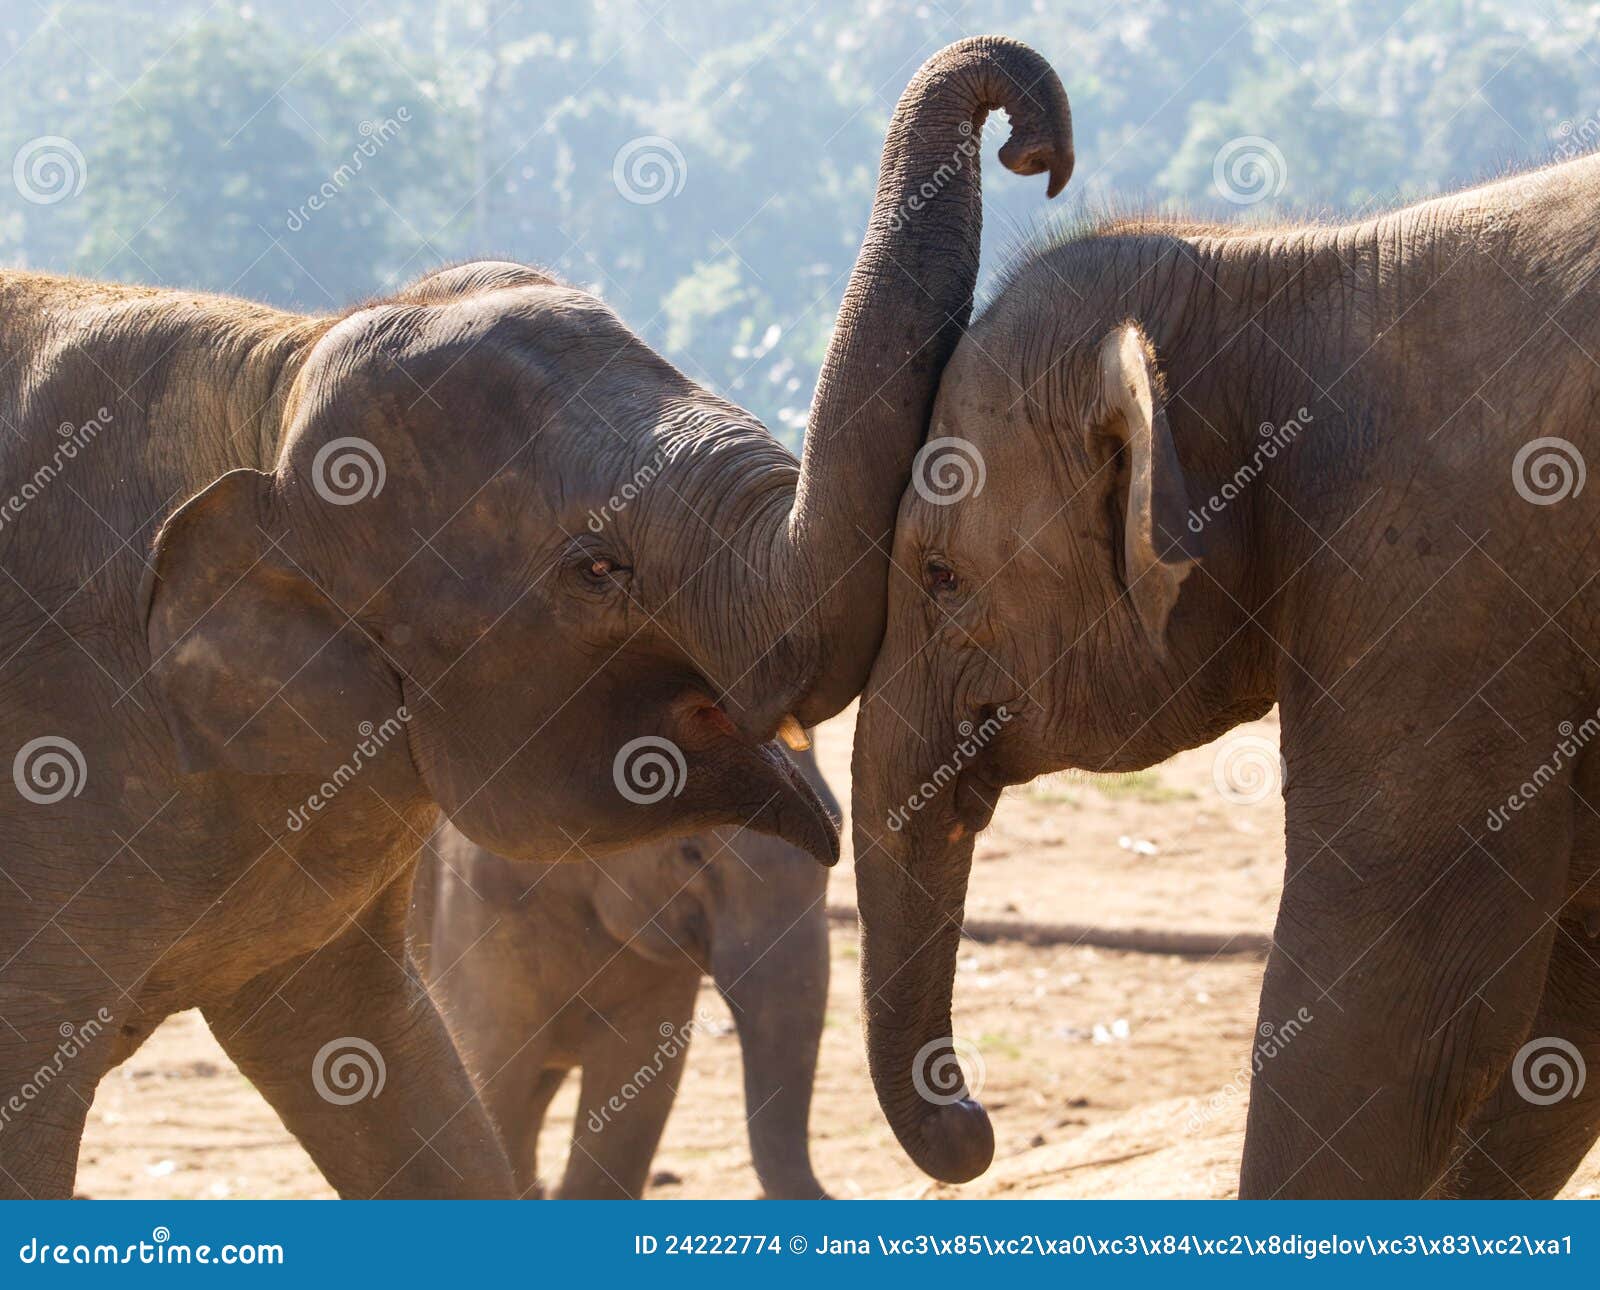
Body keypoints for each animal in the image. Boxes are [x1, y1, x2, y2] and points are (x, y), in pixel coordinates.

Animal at [848, 118, 1600, 1195]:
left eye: (941, 577)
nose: (974, 1123)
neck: (1272, 272)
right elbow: (1565, 1005)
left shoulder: (1441, 587)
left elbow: (1389, 1003)